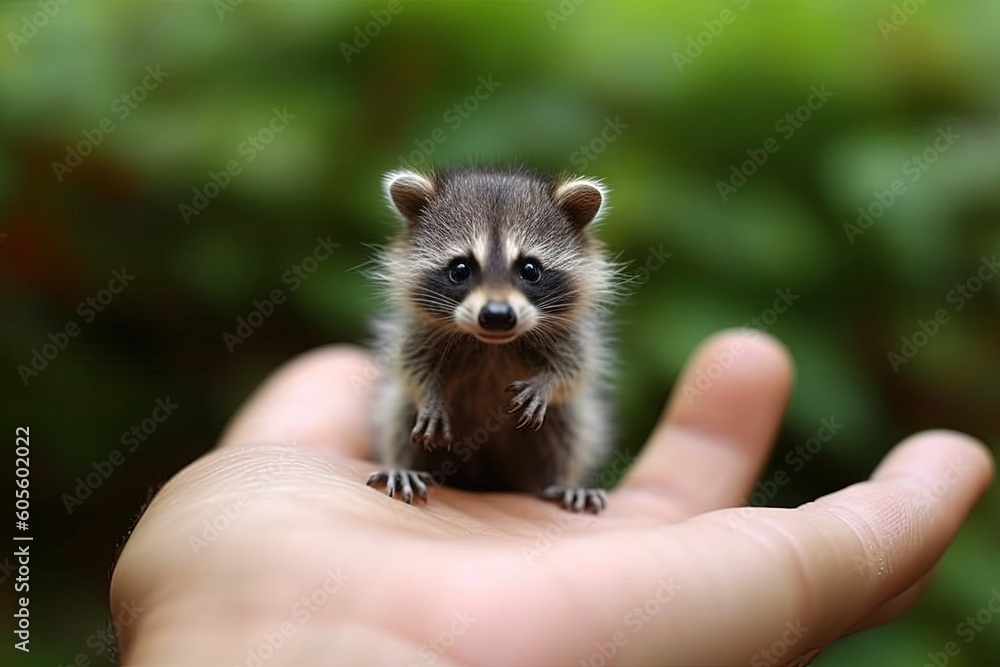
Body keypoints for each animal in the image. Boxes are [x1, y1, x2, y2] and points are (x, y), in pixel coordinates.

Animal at [365, 166, 618, 512]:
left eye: (530, 269)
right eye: (460, 269)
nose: (497, 315)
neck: (492, 345)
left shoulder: (570, 333)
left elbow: (574, 370)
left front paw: (547, 383)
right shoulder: (419, 330)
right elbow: (411, 366)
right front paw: (429, 395)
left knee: (569, 431)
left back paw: (561, 482)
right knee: (398, 417)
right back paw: (402, 465)